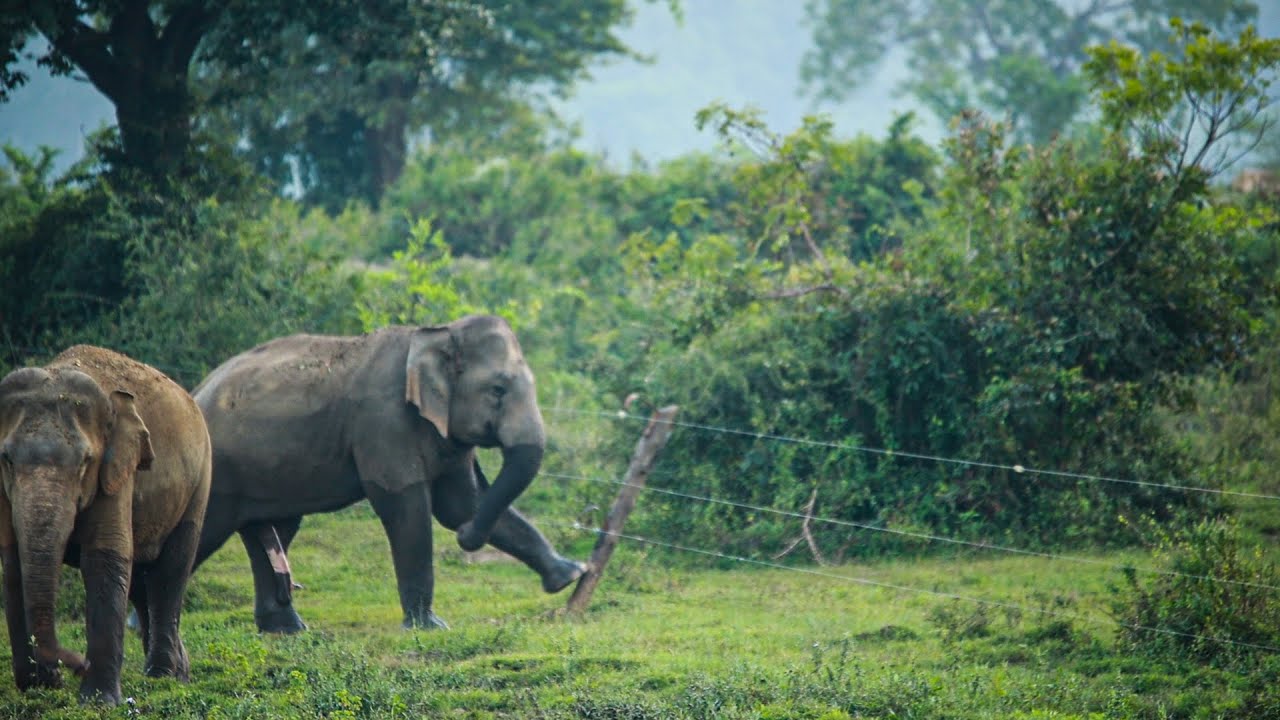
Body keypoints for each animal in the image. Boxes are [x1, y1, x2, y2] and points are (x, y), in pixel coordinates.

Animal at [0, 345, 212, 705]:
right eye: (7, 460)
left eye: (86, 462)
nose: (72, 667)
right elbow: (14, 563)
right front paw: (36, 687)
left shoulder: (117, 471)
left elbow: (105, 558)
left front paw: (98, 700)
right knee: (141, 580)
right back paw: (178, 673)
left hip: (200, 483)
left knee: (169, 573)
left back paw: (162, 677)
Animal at [191, 314, 586, 632]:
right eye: (497, 390)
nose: (466, 539)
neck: (435, 334)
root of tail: (196, 392)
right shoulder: (384, 419)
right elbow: (406, 504)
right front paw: (429, 626)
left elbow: (461, 504)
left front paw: (570, 574)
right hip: (216, 473)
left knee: (276, 531)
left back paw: (287, 630)